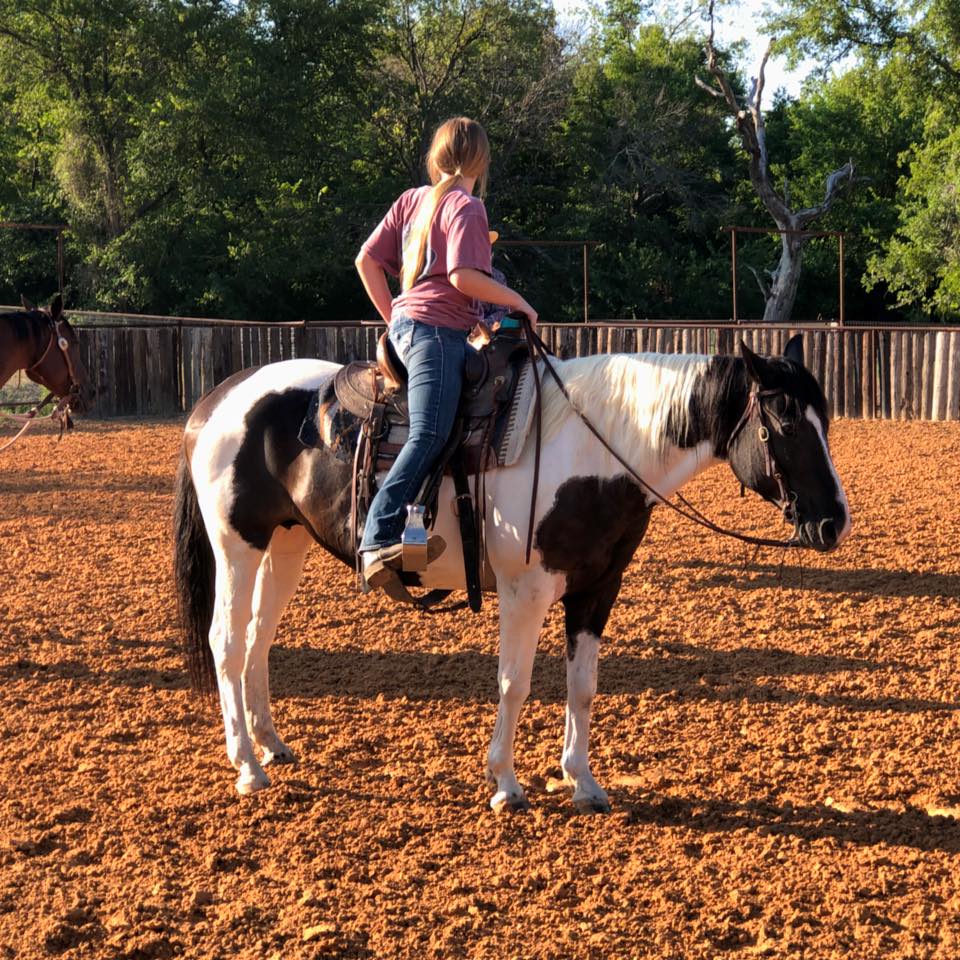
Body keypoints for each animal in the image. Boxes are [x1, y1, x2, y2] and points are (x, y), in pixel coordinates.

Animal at [173, 333, 851, 811]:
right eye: (786, 422)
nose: (834, 523)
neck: (591, 452)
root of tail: (217, 399)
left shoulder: (596, 589)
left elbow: (583, 685)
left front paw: (583, 782)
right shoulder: (527, 591)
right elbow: (514, 683)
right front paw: (506, 782)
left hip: (285, 544)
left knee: (258, 639)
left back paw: (271, 745)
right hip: (237, 543)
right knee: (227, 641)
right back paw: (247, 766)